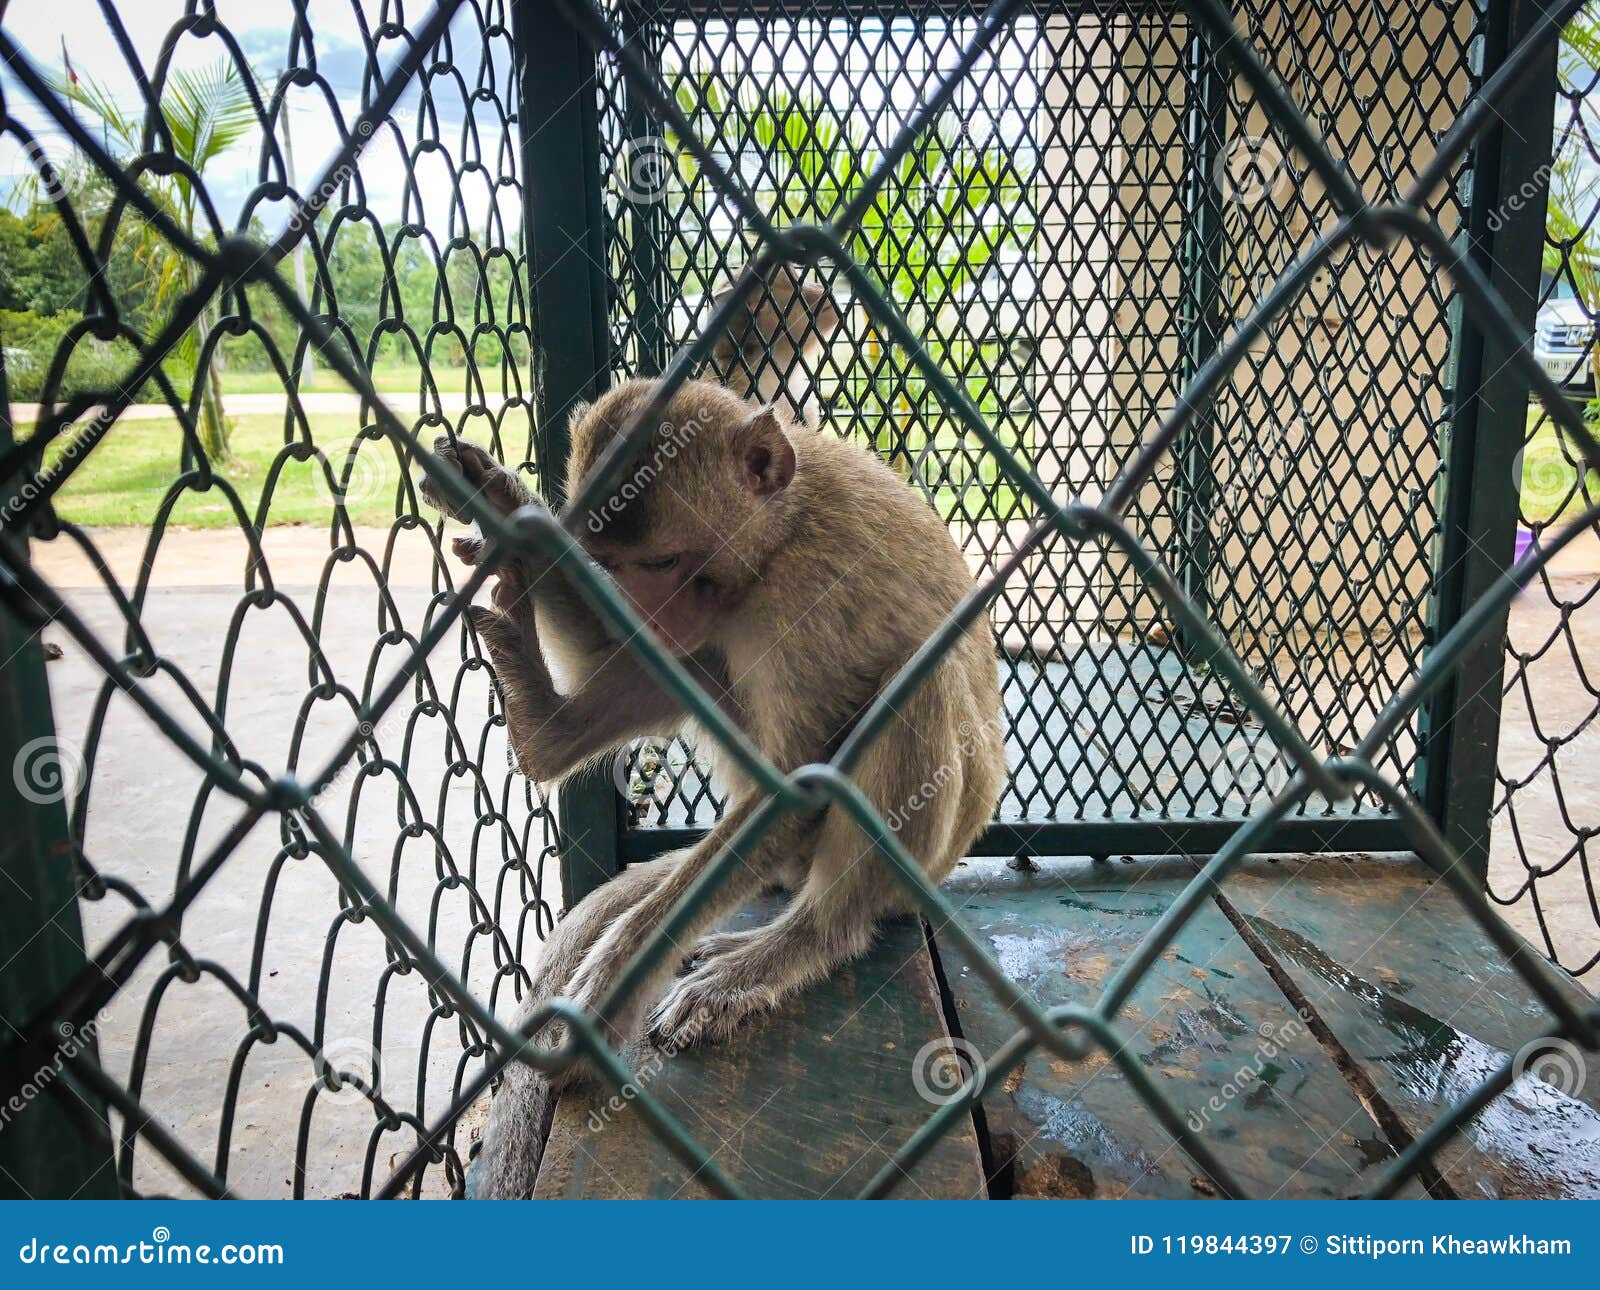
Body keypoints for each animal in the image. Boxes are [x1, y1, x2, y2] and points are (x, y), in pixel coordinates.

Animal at [420, 276, 1004, 1199]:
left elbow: (796, 791)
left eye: (662, 562)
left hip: (919, 859)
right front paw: (515, 516)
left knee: (922, 685)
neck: (773, 541)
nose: (653, 607)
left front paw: (606, 995)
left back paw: (800, 942)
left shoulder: (808, 597)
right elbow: (638, 655)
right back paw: (548, 735)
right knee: (690, 665)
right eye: (621, 568)